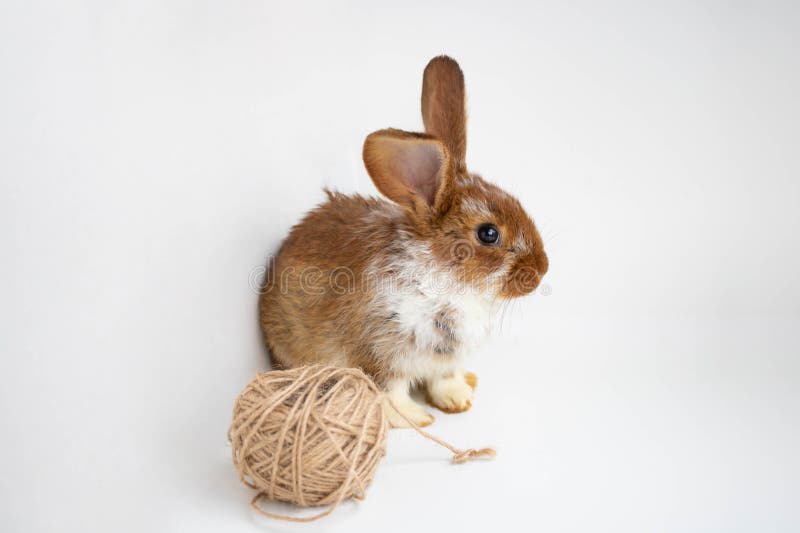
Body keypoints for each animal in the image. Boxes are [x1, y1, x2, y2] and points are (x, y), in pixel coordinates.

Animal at [259, 56, 548, 428]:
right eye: (488, 233)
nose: (542, 270)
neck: (447, 280)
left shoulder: (443, 362)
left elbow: (444, 379)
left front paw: (458, 400)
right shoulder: (380, 354)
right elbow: (390, 393)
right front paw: (418, 419)